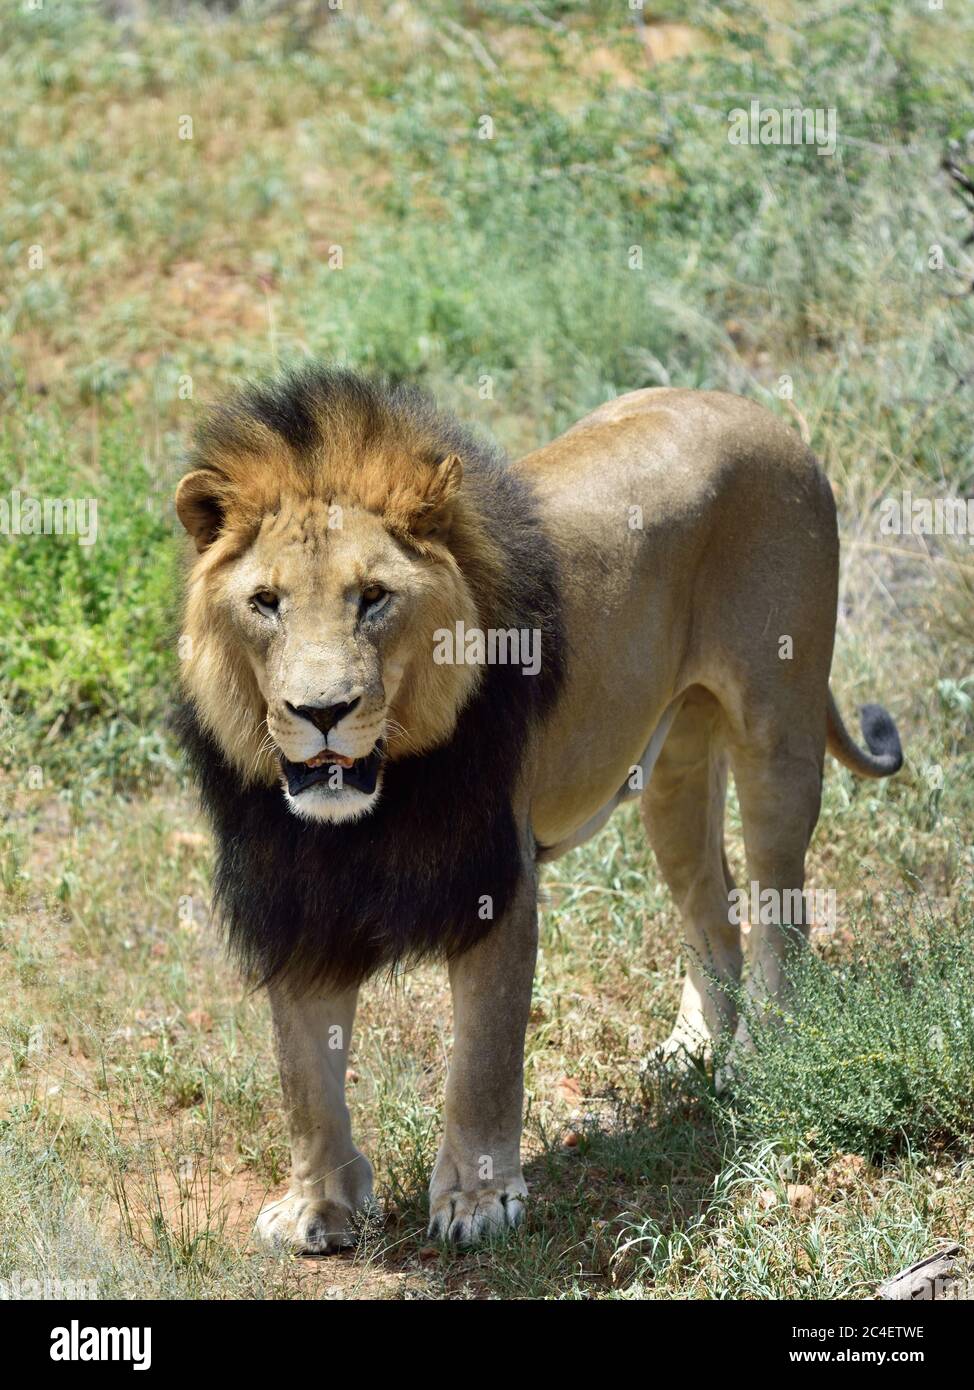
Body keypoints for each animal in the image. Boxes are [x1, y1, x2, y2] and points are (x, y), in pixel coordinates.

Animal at [174, 367, 902, 1252]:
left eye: (373, 598)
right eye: (266, 603)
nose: (322, 710)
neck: (371, 804)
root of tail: (761, 413)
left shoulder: (498, 877)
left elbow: (484, 1059)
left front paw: (479, 1202)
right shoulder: (293, 895)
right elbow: (303, 1072)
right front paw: (319, 1207)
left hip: (778, 726)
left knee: (778, 907)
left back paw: (762, 1054)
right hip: (674, 766)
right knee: (713, 912)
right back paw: (690, 1051)